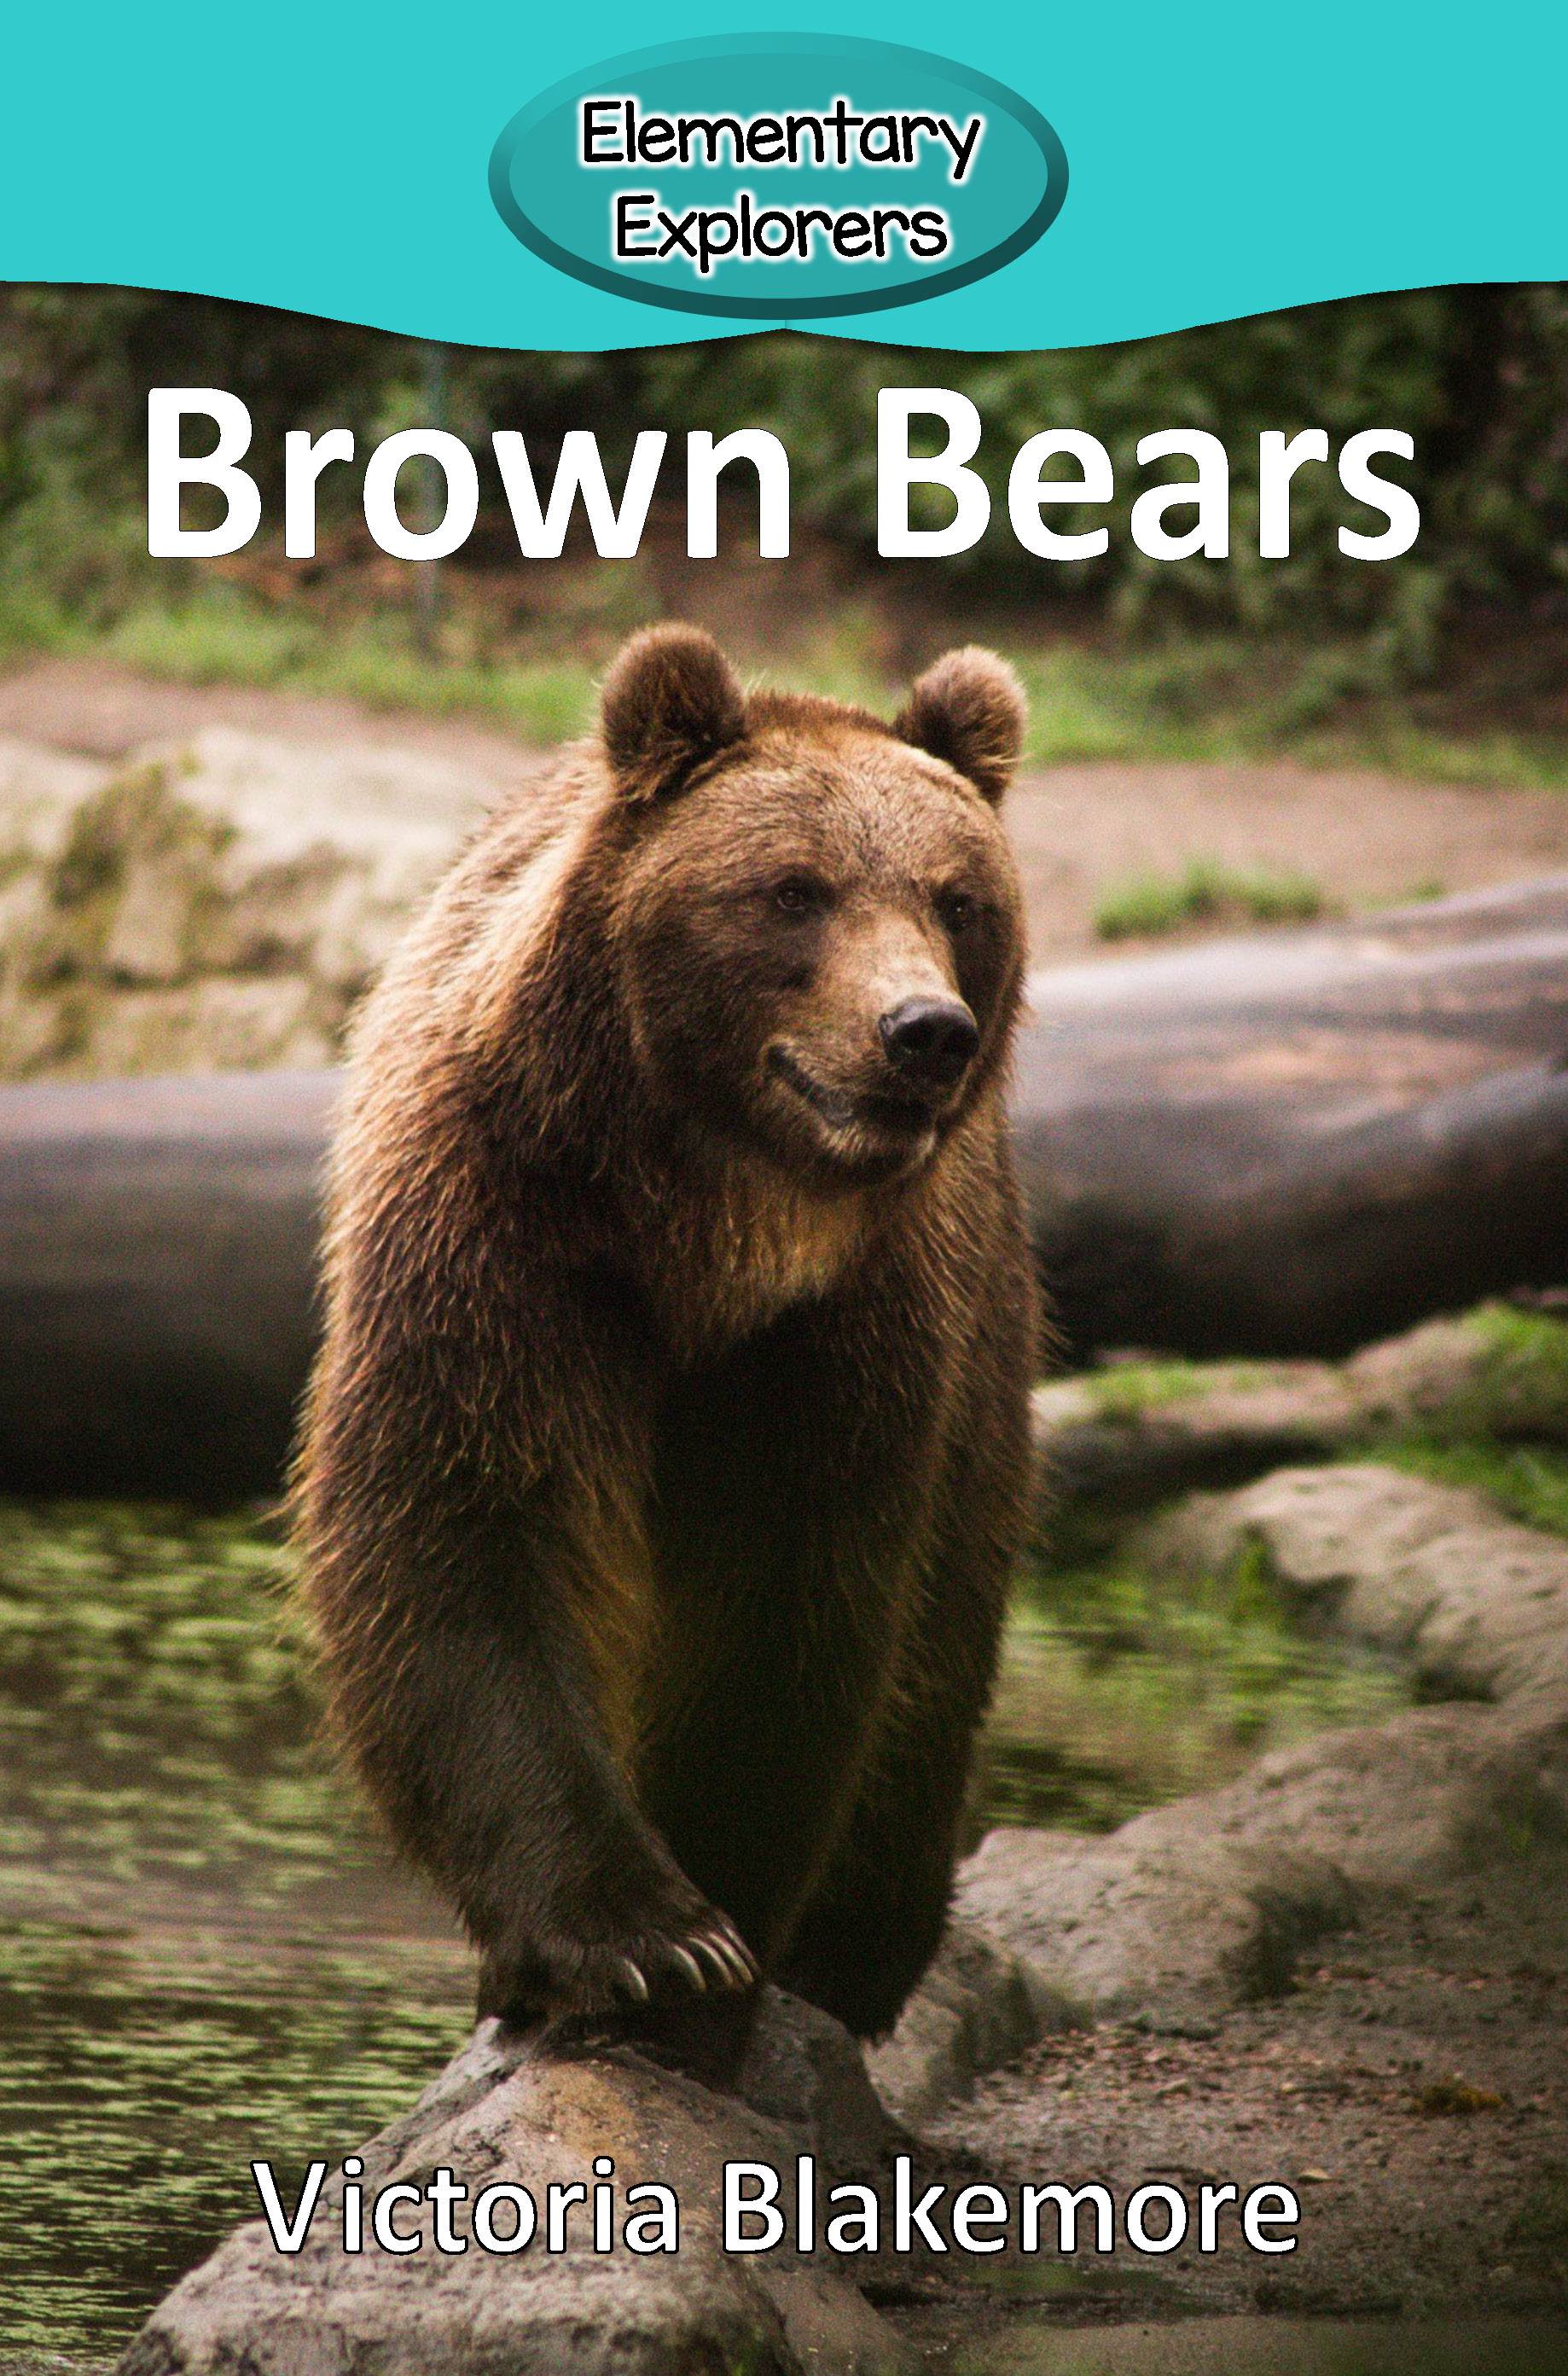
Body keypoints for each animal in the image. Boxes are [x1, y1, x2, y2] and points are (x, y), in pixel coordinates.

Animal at [294, 623, 1038, 2070]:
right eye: (793, 890)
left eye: (955, 897)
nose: (920, 1031)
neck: (705, 1227)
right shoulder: (496, 1235)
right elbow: (465, 1534)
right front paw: (644, 1940)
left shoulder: (851, 1327)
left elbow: (787, 1603)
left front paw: (721, 1943)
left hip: (990, 1366)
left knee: (935, 1659)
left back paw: (857, 1949)